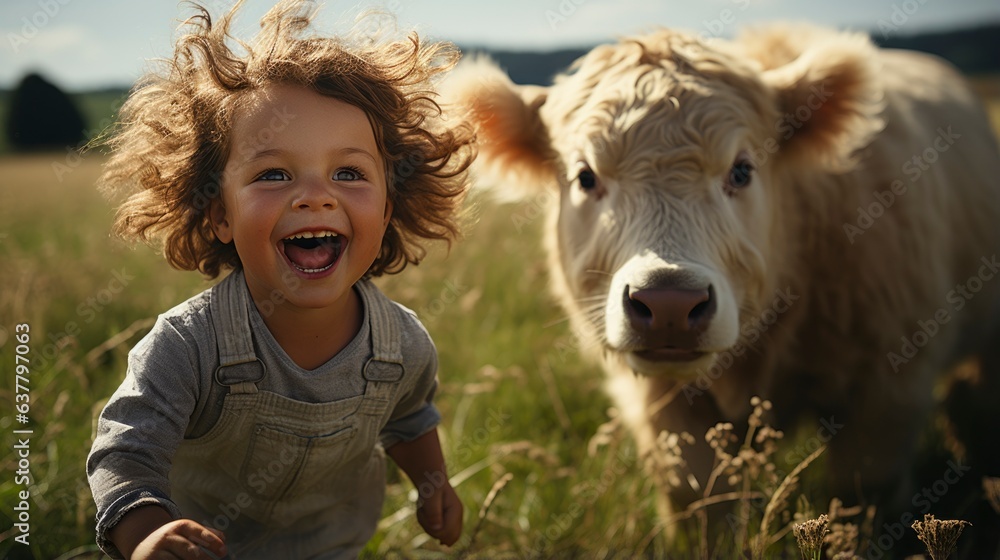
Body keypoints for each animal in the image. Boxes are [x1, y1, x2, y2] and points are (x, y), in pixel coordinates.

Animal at [448, 23, 1000, 553]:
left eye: (741, 170)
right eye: (585, 177)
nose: (669, 302)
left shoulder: (888, 384)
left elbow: (863, 493)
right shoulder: (663, 403)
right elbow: (697, 495)